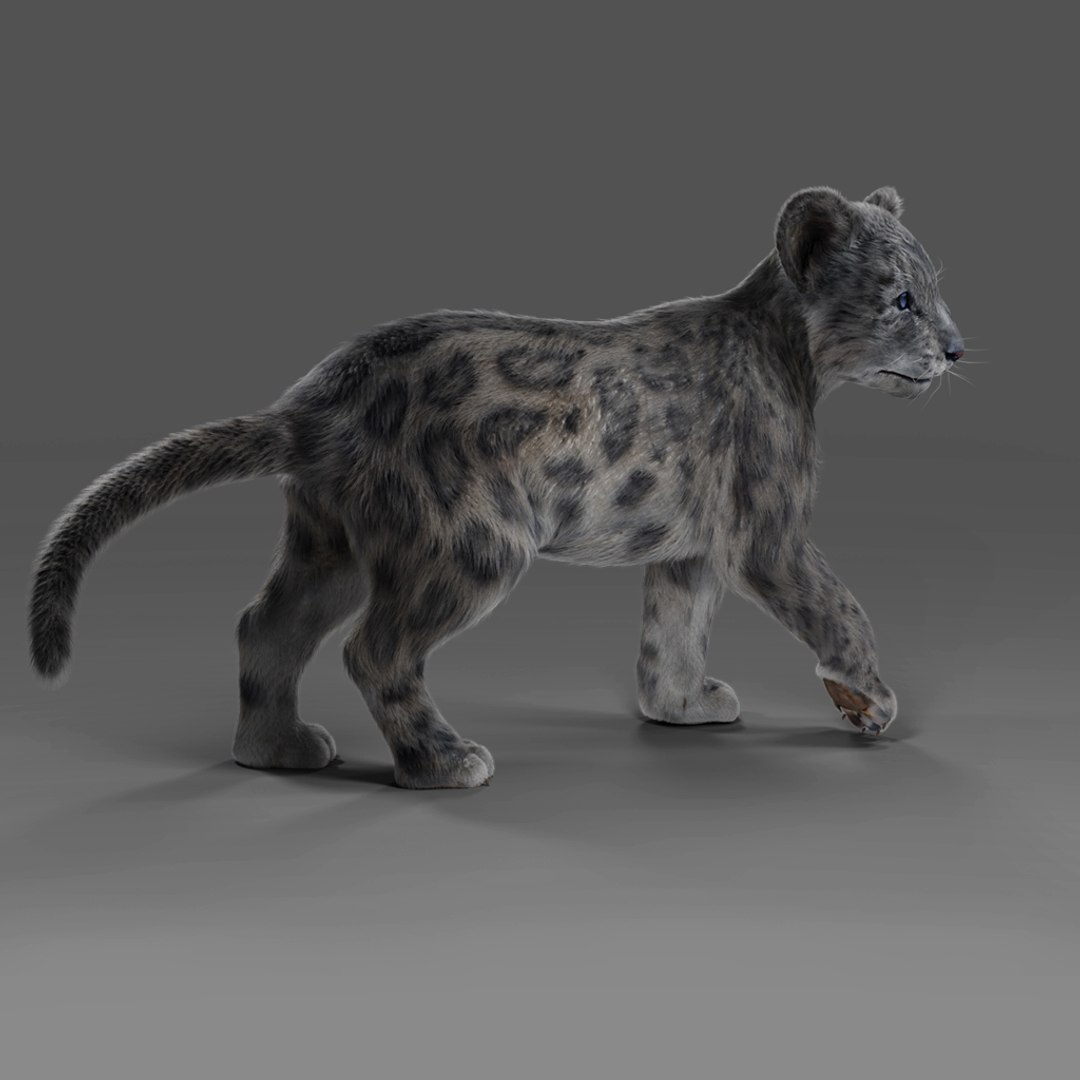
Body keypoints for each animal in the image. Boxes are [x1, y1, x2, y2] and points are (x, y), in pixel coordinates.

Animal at [28, 185, 965, 788]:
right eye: (902, 299)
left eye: (935, 290)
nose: (957, 349)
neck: (797, 360)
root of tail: (317, 396)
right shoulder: (769, 534)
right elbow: (839, 605)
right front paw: (870, 700)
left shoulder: (691, 546)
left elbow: (674, 629)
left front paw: (681, 704)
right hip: (467, 547)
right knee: (374, 651)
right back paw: (443, 762)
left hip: (332, 547)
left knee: (268, 627)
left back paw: (277, 748)